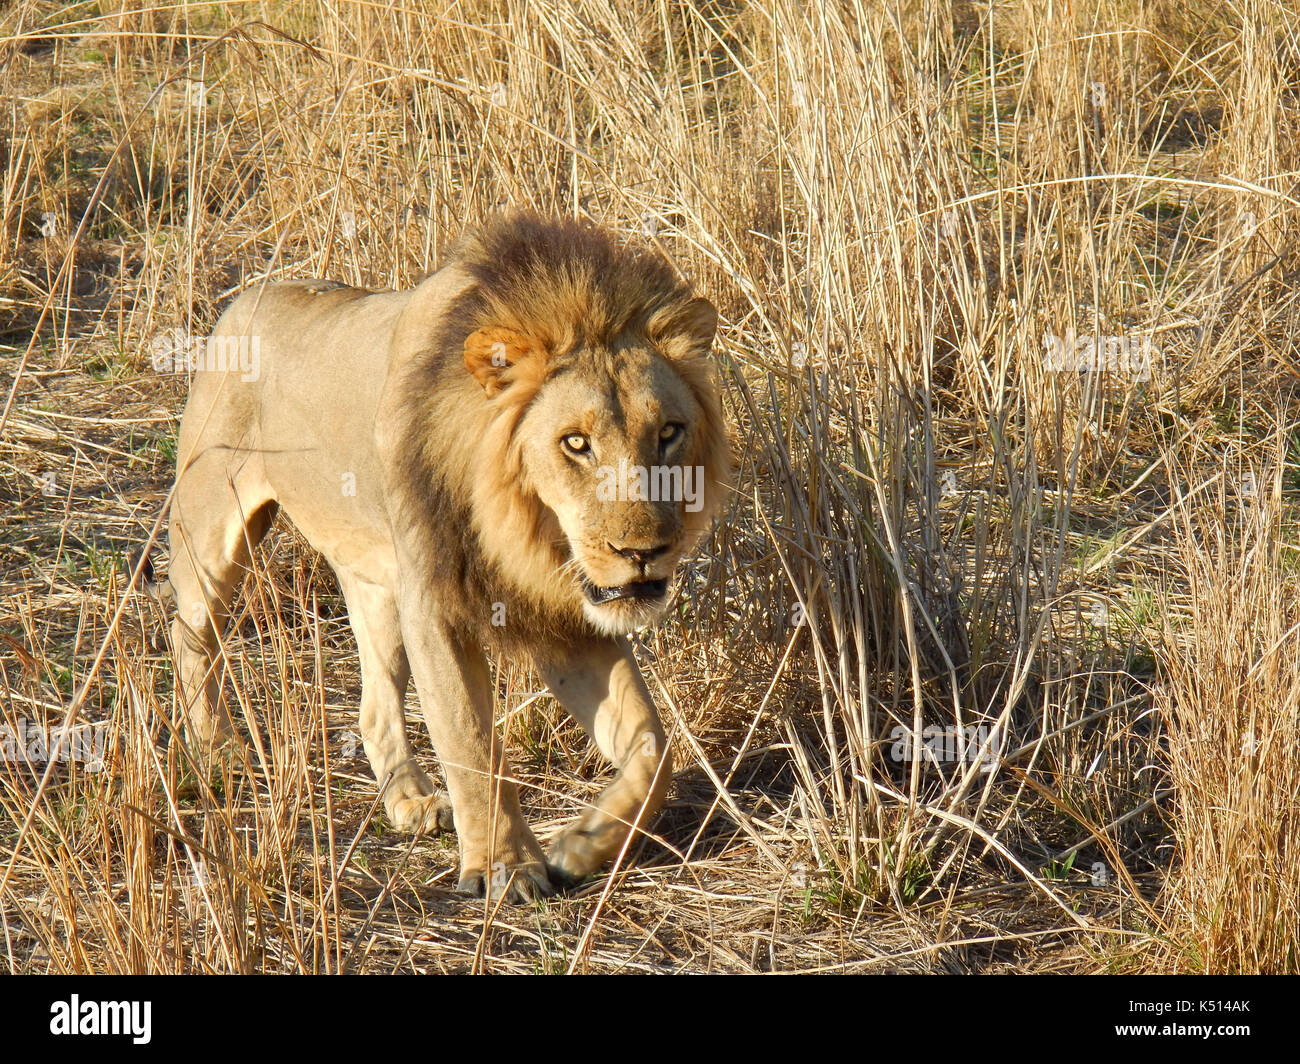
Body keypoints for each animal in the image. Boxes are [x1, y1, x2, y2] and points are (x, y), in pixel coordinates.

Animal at [155, 213, 729, 901]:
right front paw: (505, 868)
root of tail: (248, 297)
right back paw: (217, 748)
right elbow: (471, 740)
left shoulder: (562, 614)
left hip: (374, 581)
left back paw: (409, 801)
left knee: (376, 703)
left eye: (668, 432)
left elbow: (654, 746)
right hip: (213, 530)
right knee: (191, 632)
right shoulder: (434, 603)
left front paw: (582, 844)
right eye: (575, 443)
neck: (523, 531)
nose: (643, 552)